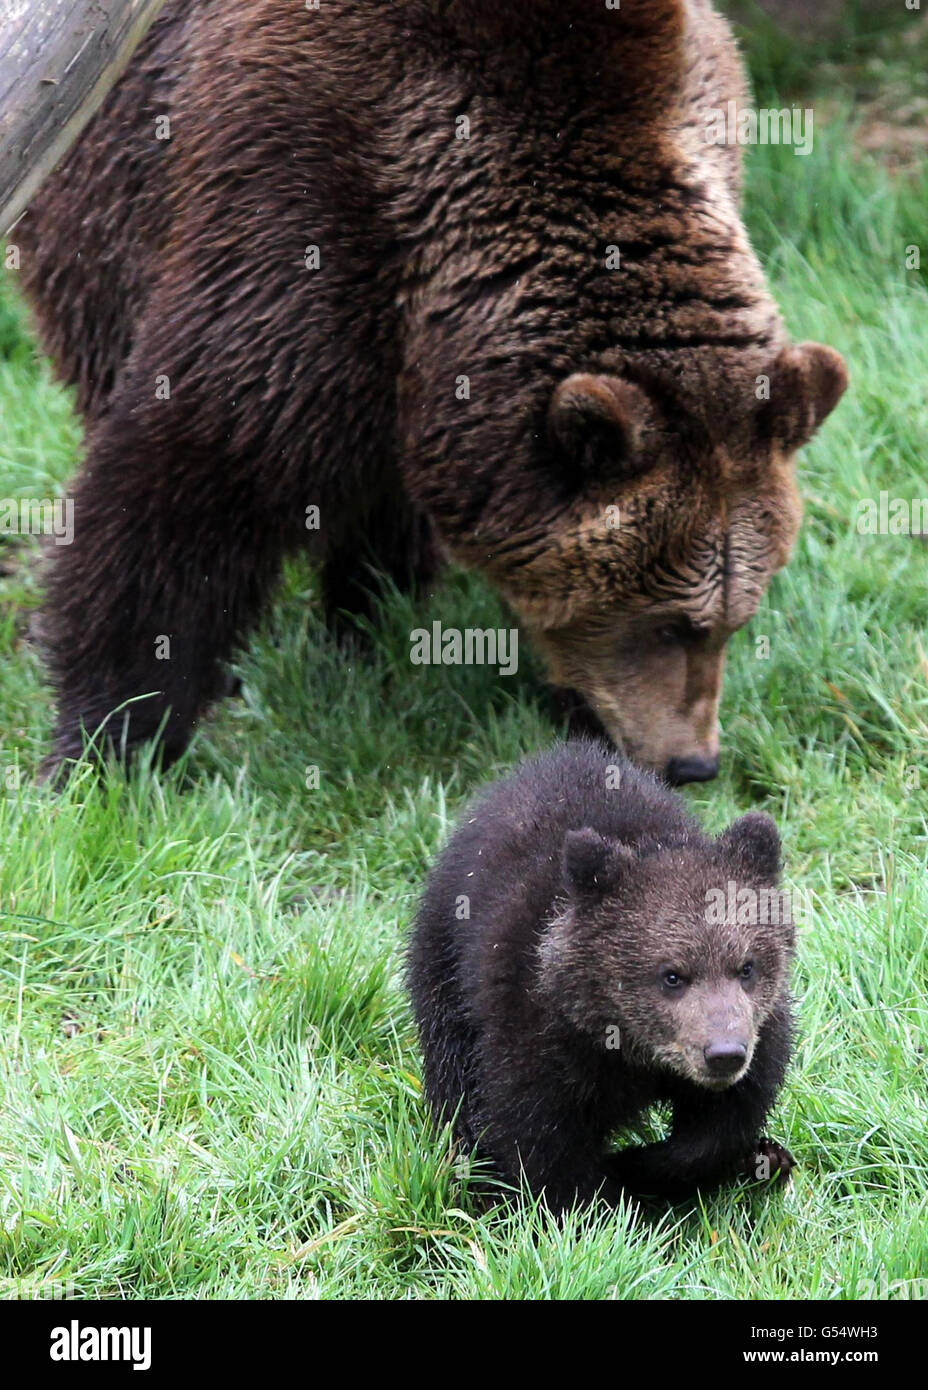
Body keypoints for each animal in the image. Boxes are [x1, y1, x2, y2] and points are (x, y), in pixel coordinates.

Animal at [13, 0, 847, 782]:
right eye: (669, 621)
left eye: (739, 617)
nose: (693, 762)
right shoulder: (298, 207)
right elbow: (195, 477)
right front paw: (109, 739)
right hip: (104, 197)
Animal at [407, 740, 796, 1211]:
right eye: (671, 975)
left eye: (747, 966)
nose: (723, 1054)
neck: (632, 1050)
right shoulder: (536, 1030)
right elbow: (537, 1139)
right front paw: (604, 1201)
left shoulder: (761, 1032)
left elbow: (723, 1124)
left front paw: (647, 1166)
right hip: (445, 959)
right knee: (451, 1071)